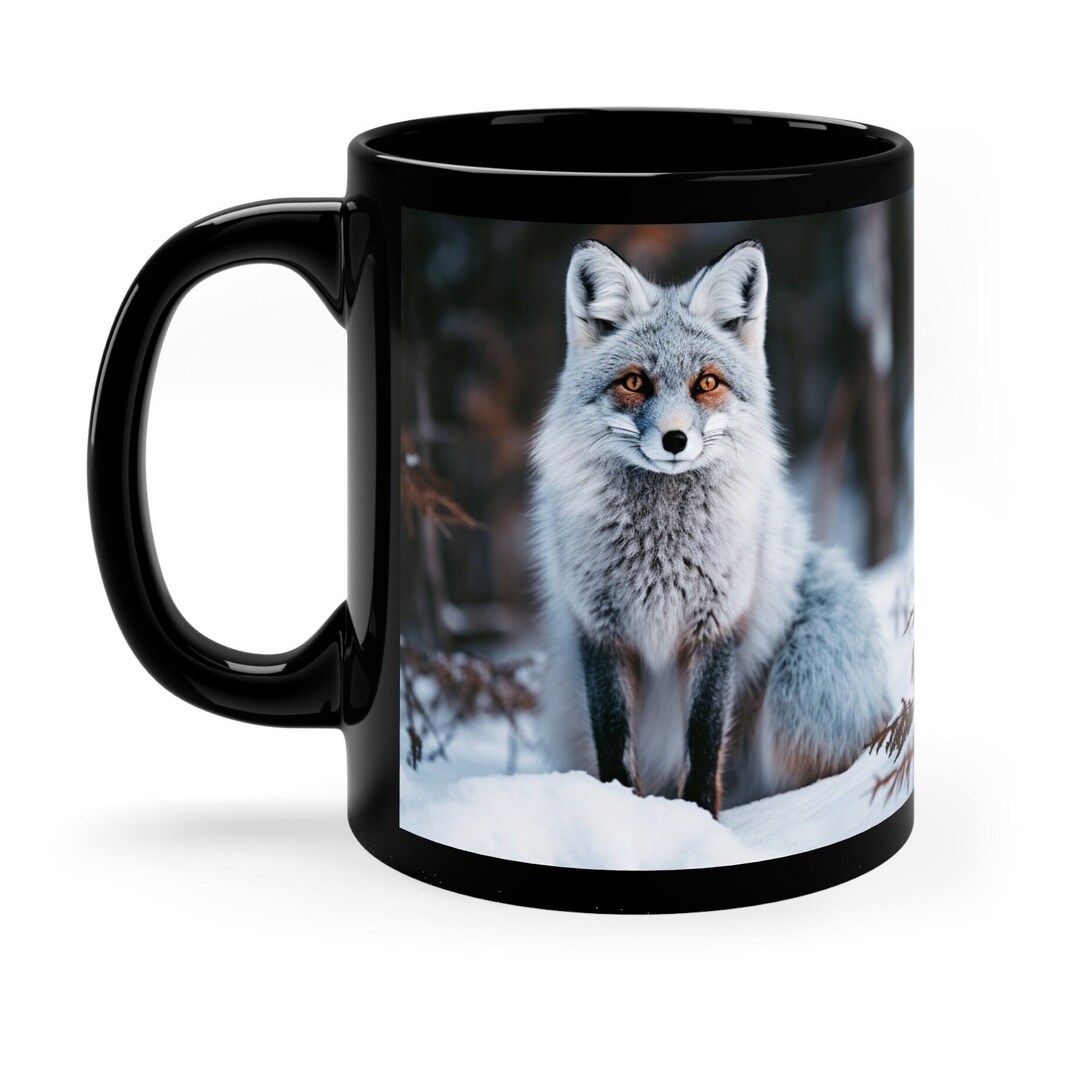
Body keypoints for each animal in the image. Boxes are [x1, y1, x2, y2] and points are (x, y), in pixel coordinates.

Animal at [529, 239, 891, 816]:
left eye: (707, 383)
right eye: (635, 382)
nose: (675, 440)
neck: (658, 551)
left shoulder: (719, 624)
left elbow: (702, 740)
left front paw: (698, 820)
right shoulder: (599, 628)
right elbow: (613, 740)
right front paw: (620, 809)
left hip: (802, 687)